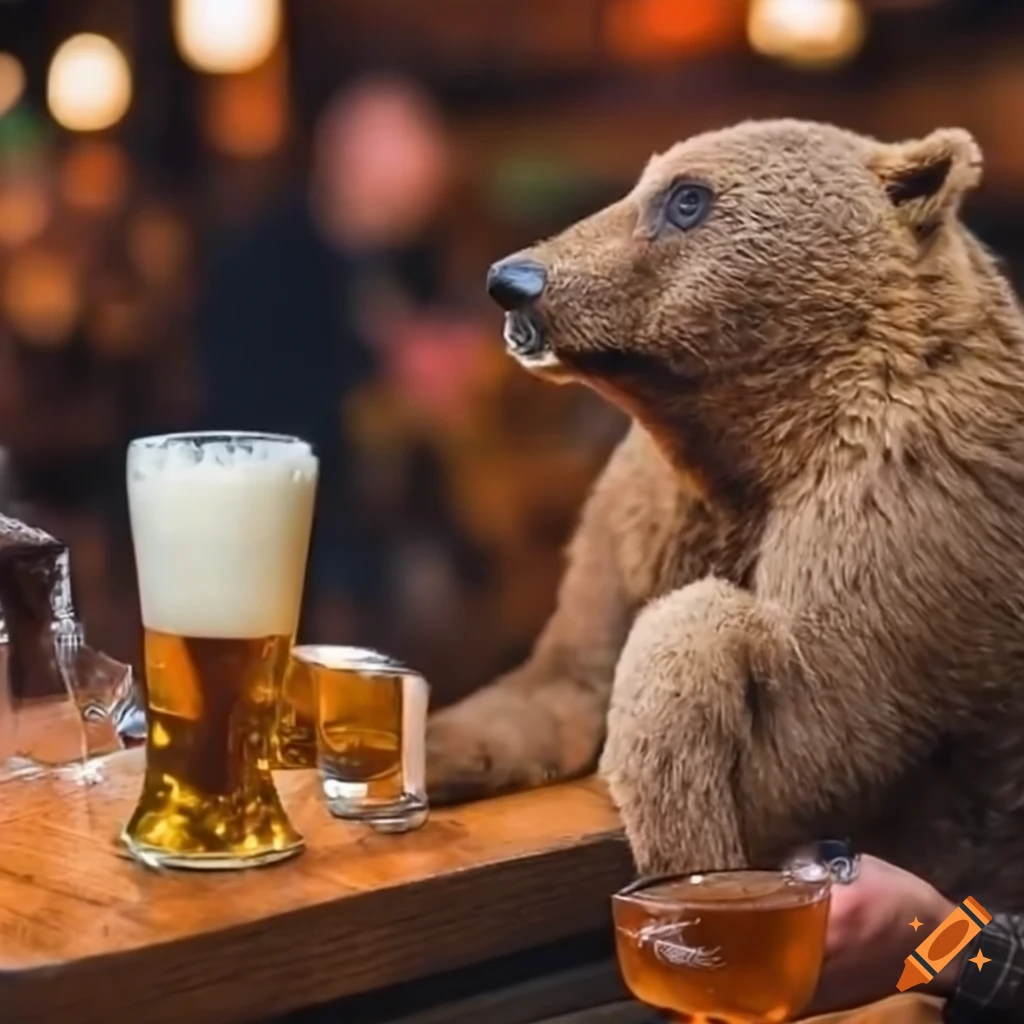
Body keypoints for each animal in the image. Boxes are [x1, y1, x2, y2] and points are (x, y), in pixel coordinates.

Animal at [425, 118, 1024, 910]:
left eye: (688, 198)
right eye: (639, 184)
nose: (514, 280)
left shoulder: (903, 503)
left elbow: (804, 750)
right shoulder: (648, 504)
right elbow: (562, 673)